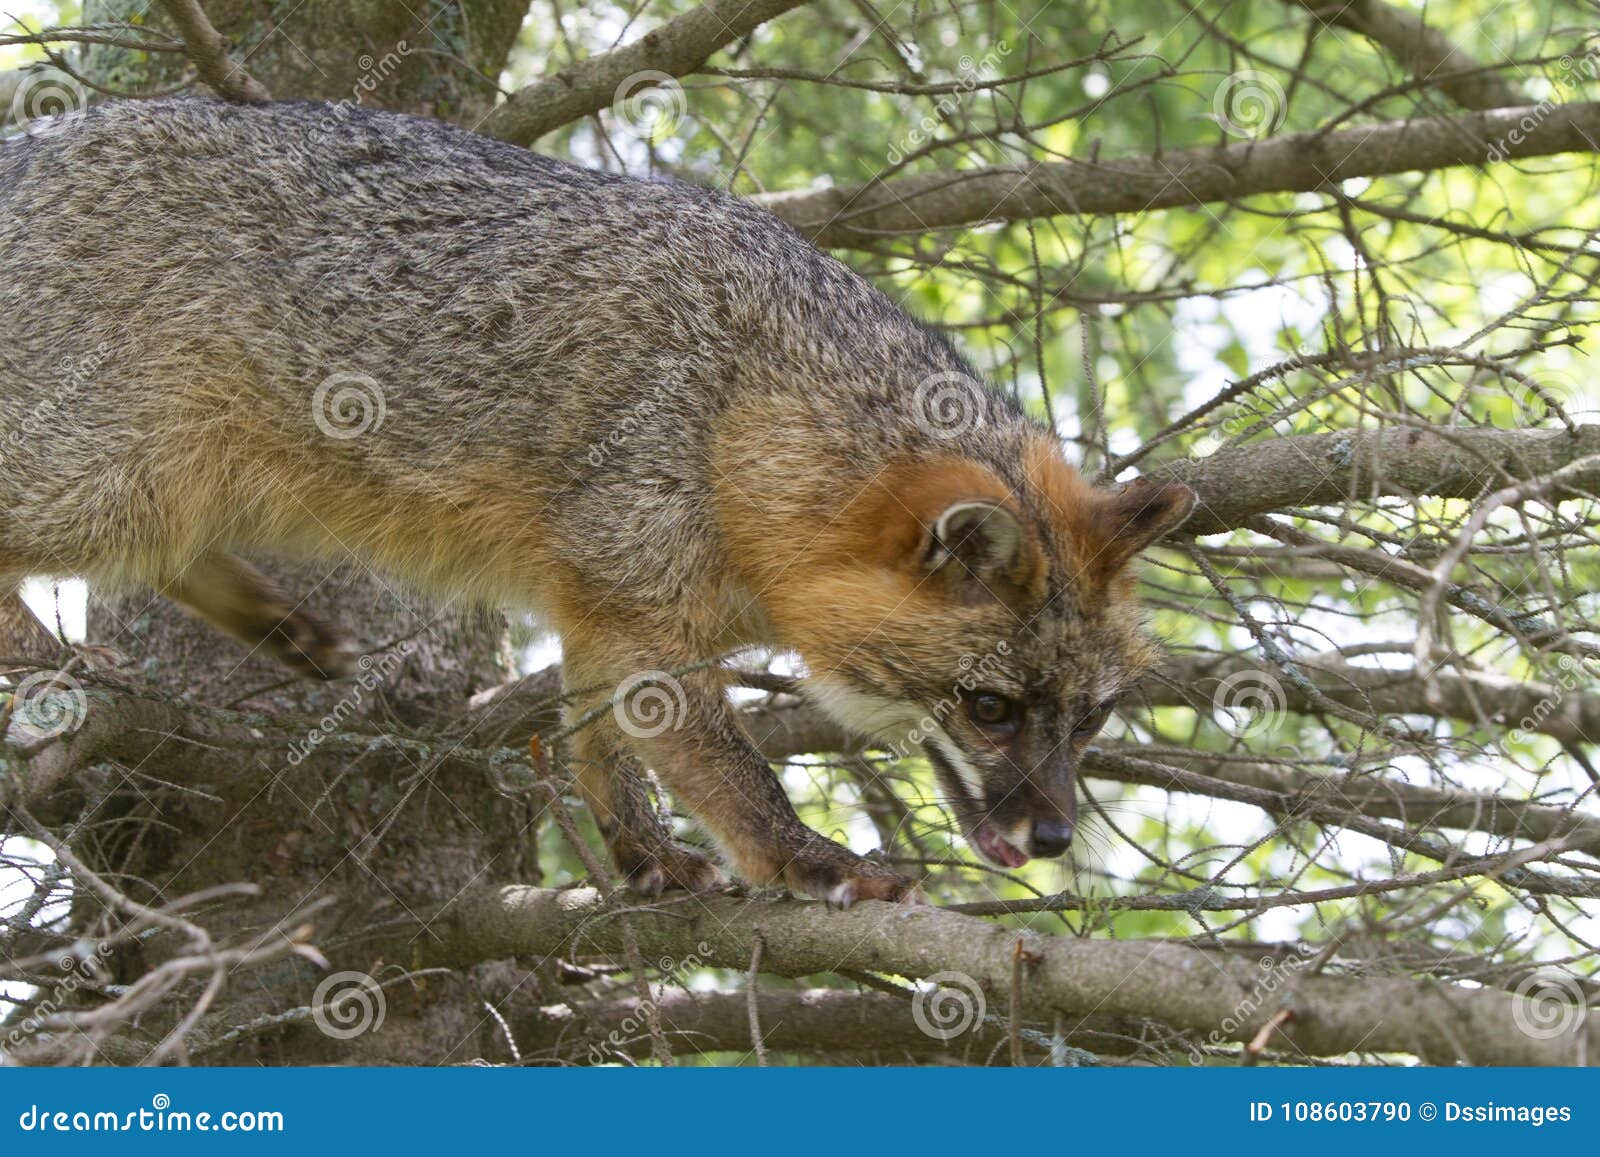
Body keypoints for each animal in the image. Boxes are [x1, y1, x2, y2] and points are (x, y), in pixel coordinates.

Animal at [0, 98, 1195, 905]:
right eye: (990, 707)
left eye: (1091, 717)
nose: (1054, 837)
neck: (746, 395)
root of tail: (44, 129)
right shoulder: (644, 606)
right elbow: (732, 771)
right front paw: (810, 861)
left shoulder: (602, 600)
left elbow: (598, 748)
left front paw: (643, 853)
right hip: (112, 480)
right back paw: (47, 654)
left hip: (182, 493)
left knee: (174, 560)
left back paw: (289, 628)